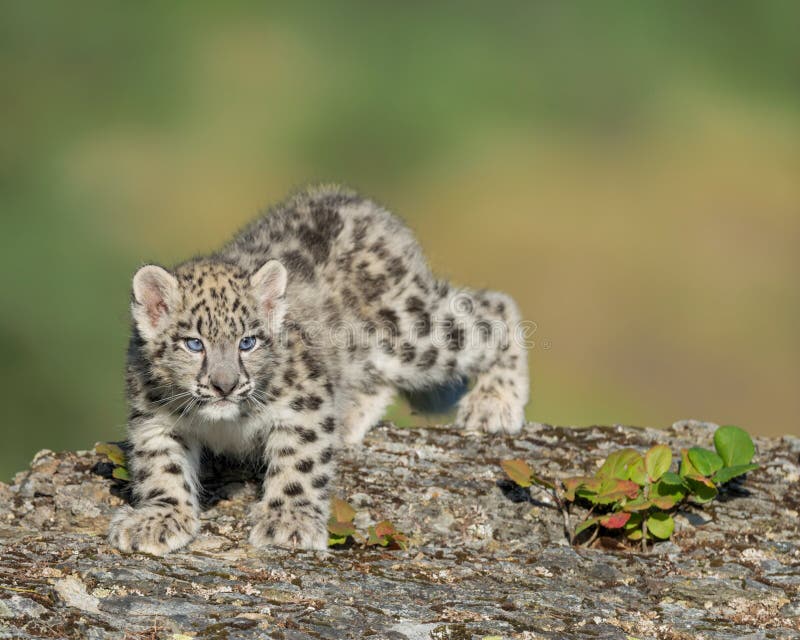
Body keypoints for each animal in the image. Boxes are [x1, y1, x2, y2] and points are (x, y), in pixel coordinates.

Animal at [108, 185, 530, 555]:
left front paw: (288, 521)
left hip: (410, 334)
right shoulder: (154, 417)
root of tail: (359, 202)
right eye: (194, 344)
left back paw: (495, 404)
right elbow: (161, 467)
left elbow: (300, 460)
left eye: (248, 342)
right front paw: (158, 519)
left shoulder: (304, 401)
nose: (225, 385)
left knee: (492, 310)